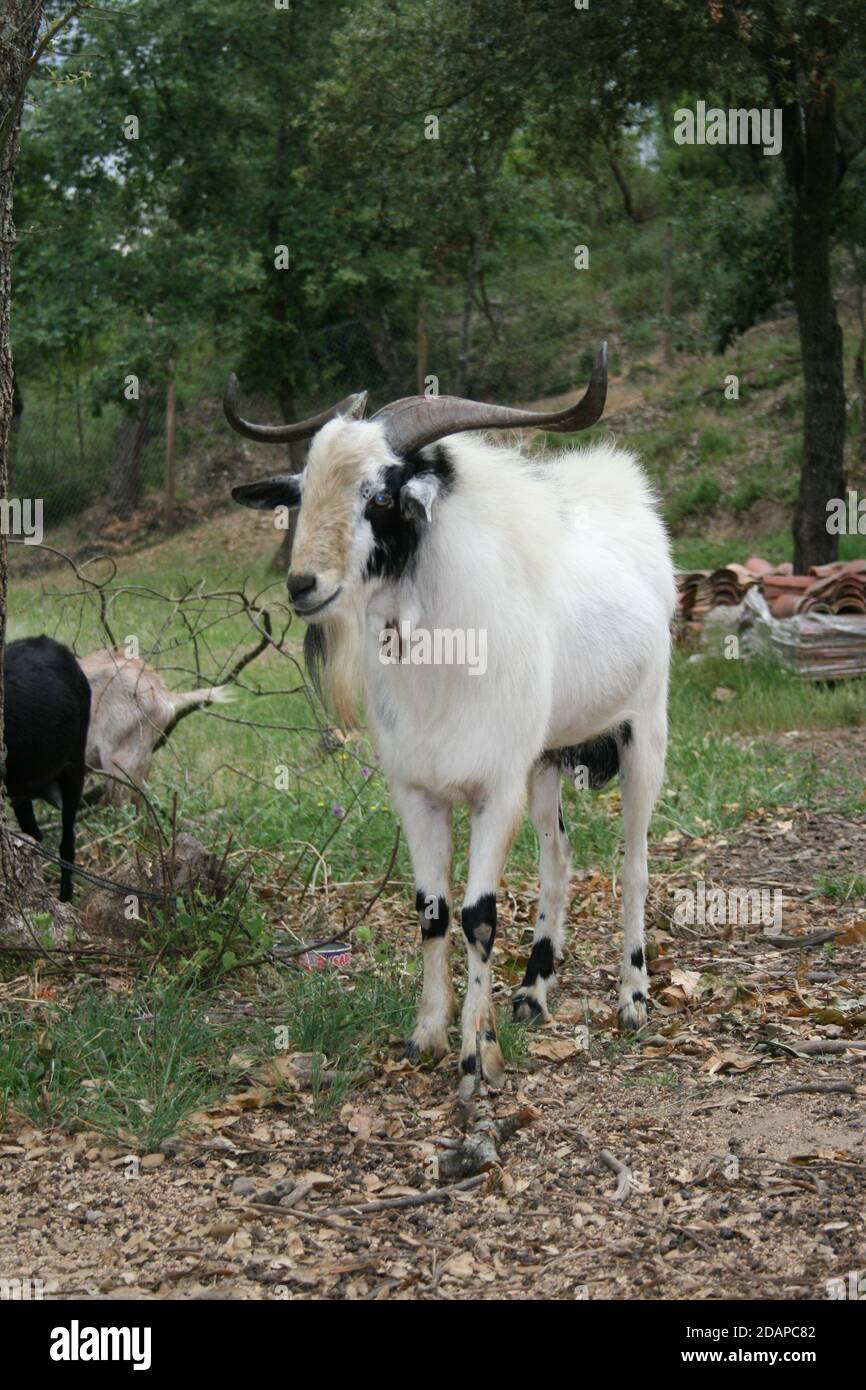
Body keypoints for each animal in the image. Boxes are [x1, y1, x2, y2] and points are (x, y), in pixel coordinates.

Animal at [226, 345, 676, 1089]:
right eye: (304, 490)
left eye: (380, 496)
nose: (303, 586)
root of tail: (624, 498)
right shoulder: (418, 791)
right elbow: (432, 912)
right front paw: (427, 1036)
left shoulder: (495, 790)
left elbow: (478, 916)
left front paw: (477, 1053)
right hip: (546, 758)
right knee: (559, 859)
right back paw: (534, 990)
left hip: (645, 730)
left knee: (634, 862)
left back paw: (633, 996)